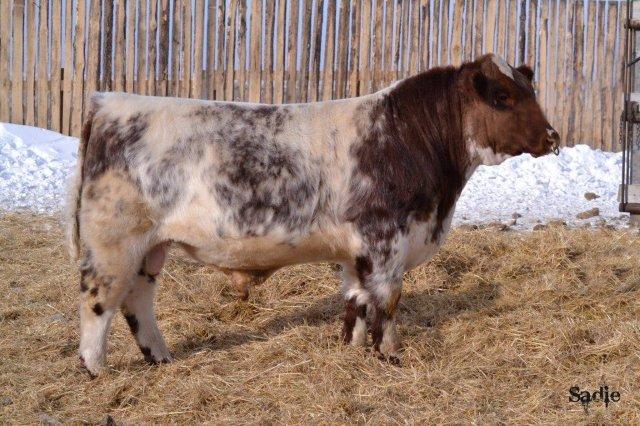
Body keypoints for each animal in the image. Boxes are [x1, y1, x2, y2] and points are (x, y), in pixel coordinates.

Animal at [66, 54, 560, 376]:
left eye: (530, 90)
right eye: (502, 96)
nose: (553, 137)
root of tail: (107, 101)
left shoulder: (358, 253)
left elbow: (356, 301)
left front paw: (353, 349)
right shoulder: (386, 243)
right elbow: (387, 303)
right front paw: (391, 355)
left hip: (150, 248)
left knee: (138, 301)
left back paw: (160, 357)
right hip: (114, 242)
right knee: (98, 303)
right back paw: (96, 369)